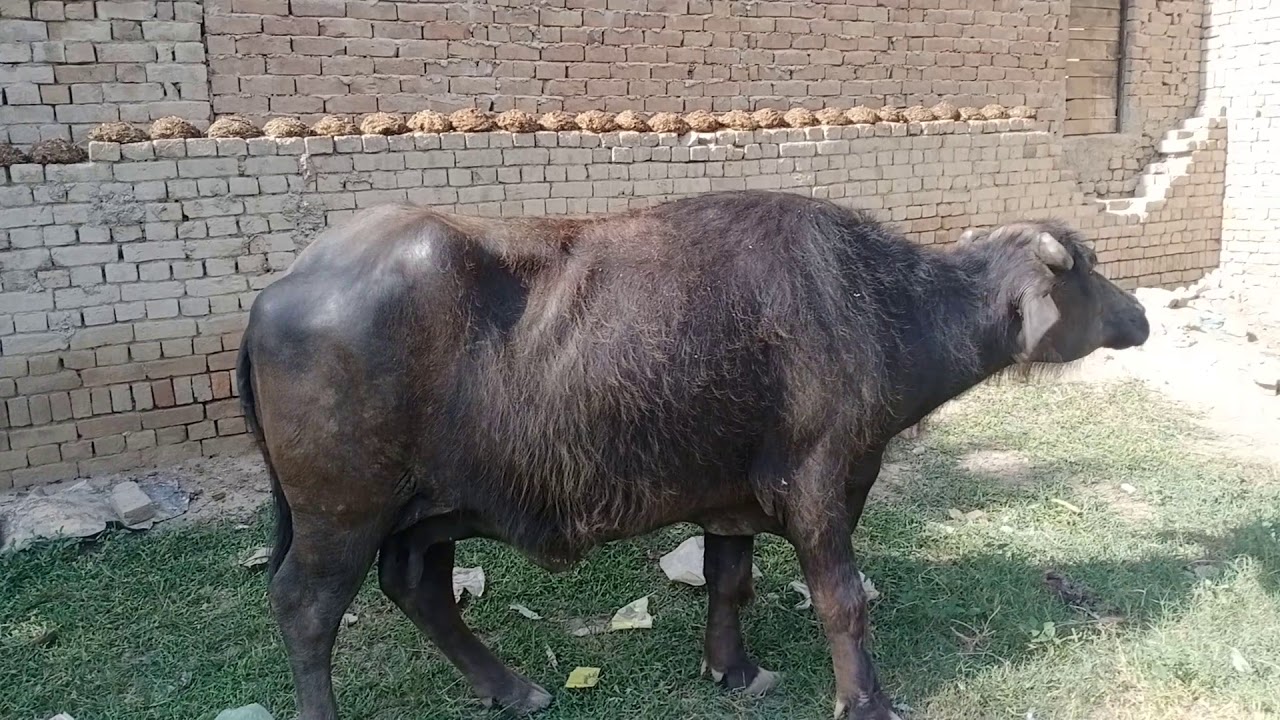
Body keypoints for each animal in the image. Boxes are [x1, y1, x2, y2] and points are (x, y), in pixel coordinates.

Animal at [237, 190, 1149, 719]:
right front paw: (867, 700)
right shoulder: (822, 483)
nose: (1139, 316)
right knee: (307, 607)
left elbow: (729, 581)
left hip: (429, 509)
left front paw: (733, 669)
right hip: (340, 513)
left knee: (417, 587)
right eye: (1087, 270)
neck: (881, 307)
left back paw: (514, 689)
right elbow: (843, 600)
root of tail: (280, 290)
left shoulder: (732, 497)